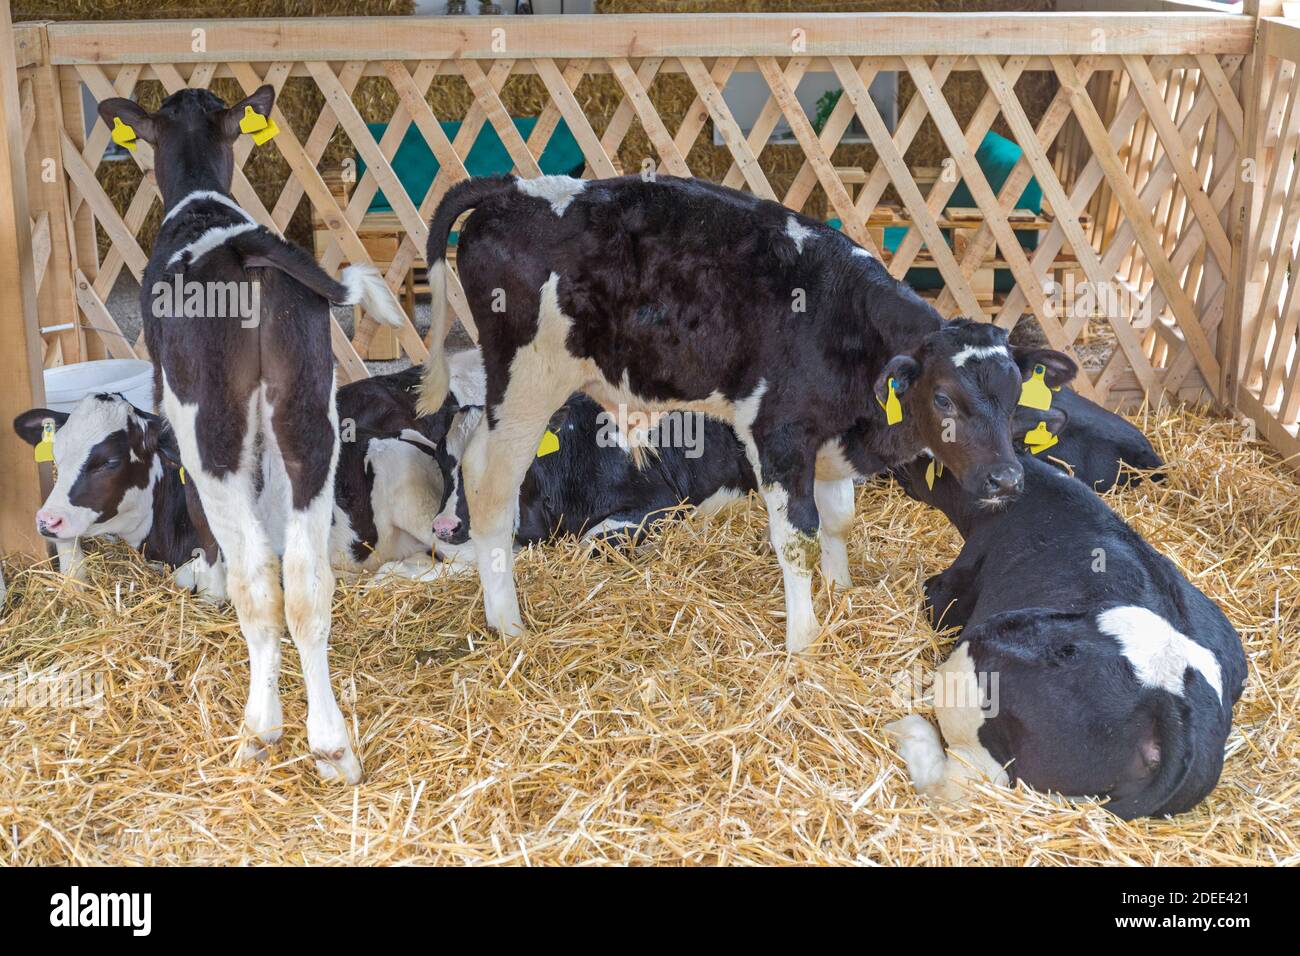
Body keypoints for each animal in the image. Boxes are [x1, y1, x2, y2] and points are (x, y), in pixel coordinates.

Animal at [95, 86, 411, 783]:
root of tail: (243, 250)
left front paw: (205, 582)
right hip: (308, 416)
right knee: (306, 581)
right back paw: (333, 746)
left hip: (208, 424)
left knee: (260, 585)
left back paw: (259, 731)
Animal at [416, 174, 1076, 651]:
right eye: (943, 398)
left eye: (1013, 396)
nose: (1006, 480)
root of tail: (511, 188)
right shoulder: (779, 432)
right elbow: (797, 536)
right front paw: (804, 641)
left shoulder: (828, 443)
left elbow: (838, 522)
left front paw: (841, 592)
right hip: (527, 381)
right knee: (489, 486)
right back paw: (507, 624)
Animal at [886, 452, 1246, 819]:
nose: (894, 467)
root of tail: (1173, 711)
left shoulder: (955, 585)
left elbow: (936, 599)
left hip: (979, 669)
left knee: (958, 785)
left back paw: (905, 728)